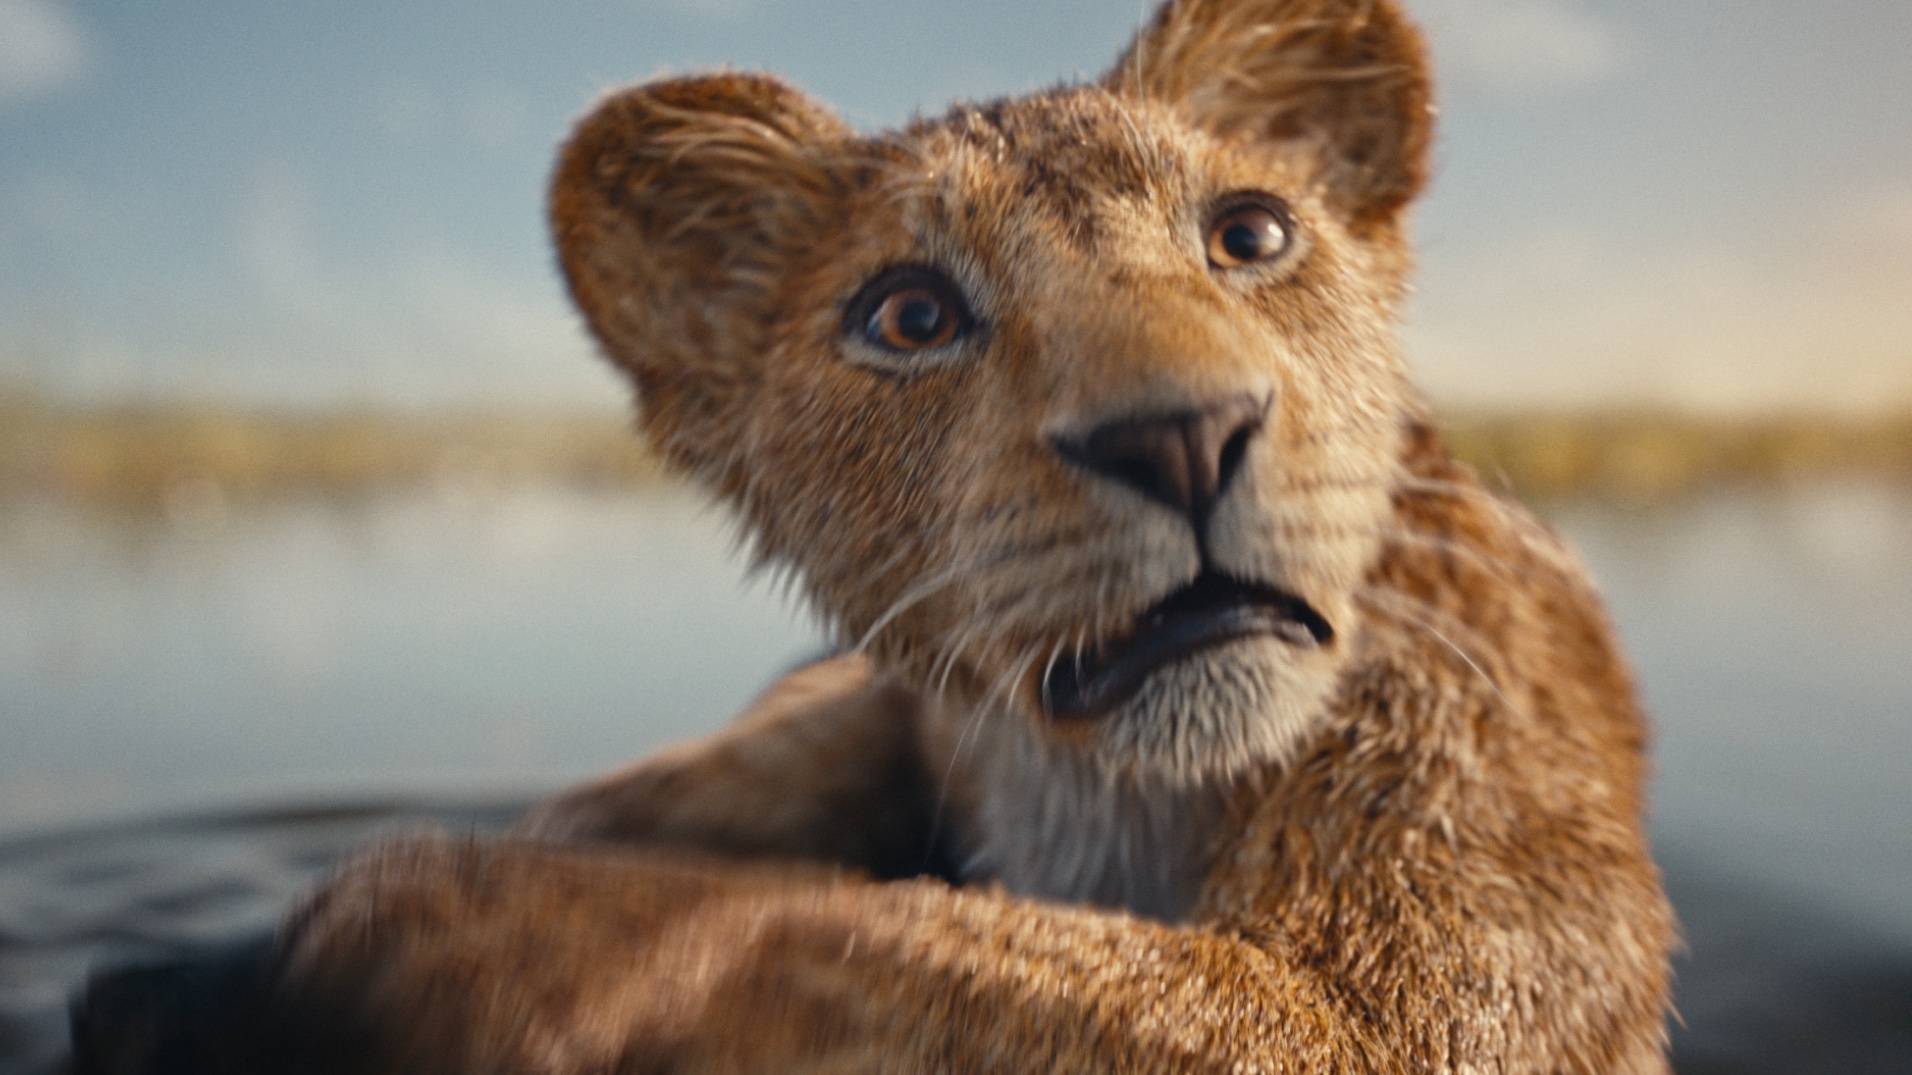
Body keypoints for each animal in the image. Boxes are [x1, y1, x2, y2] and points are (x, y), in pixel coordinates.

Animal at [71, 0, 1674, 1070]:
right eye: (910, 314)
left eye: (1252, 234)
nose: (1181, 435)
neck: (1102, 790)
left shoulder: (1417, 989)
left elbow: (838, 929)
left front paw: (420, 928)